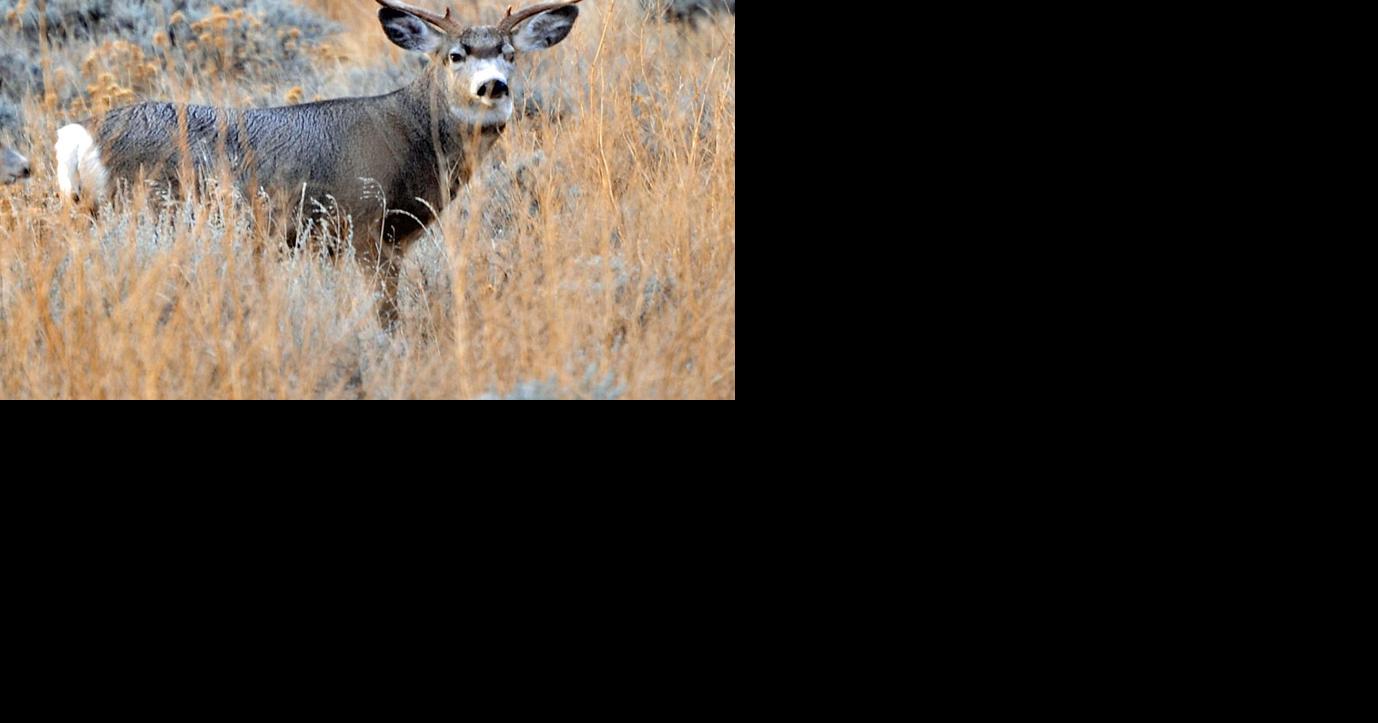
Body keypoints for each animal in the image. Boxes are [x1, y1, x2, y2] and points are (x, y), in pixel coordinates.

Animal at [54, 0, 582, 326]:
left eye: (510, 54)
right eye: (455, 55)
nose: (493, 86)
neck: (411, 136)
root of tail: (80, 135)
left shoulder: (390, 241)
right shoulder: (364, 222)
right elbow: (384, 312)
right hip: (150, 210)